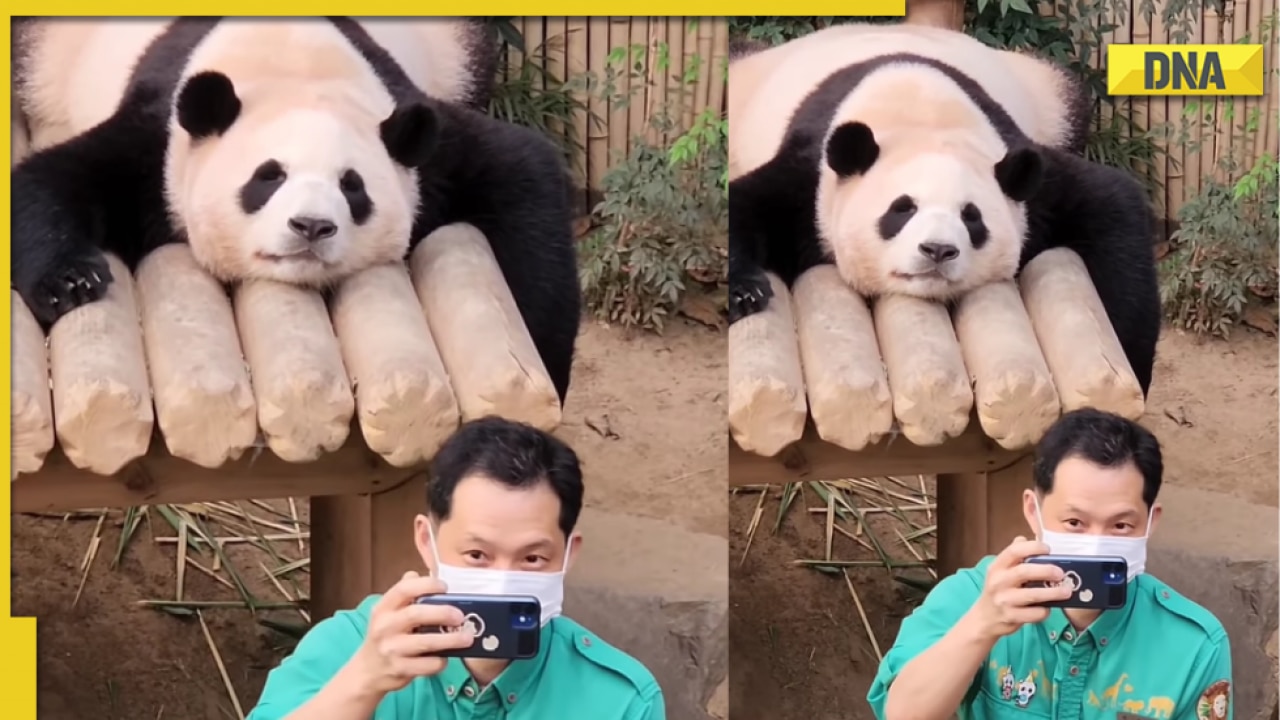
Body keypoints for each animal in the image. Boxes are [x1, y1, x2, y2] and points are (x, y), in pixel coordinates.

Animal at [11, 17, 581, 403]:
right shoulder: (163, 142)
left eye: (353, 187)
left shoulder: (418, 135)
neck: (291, 63)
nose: (311, 226)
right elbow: (52, 180)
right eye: (268, 177)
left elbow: (520, 173)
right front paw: (72, 282)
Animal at [727, 22, 1160, 396]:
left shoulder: (1021, 167)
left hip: (1050, 95)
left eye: (972, 217)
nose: (937, 250)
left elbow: (1109, 205)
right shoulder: (816, 174)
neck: (918, 107)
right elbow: (750, 203)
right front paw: (746, 293)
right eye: (901, 209)